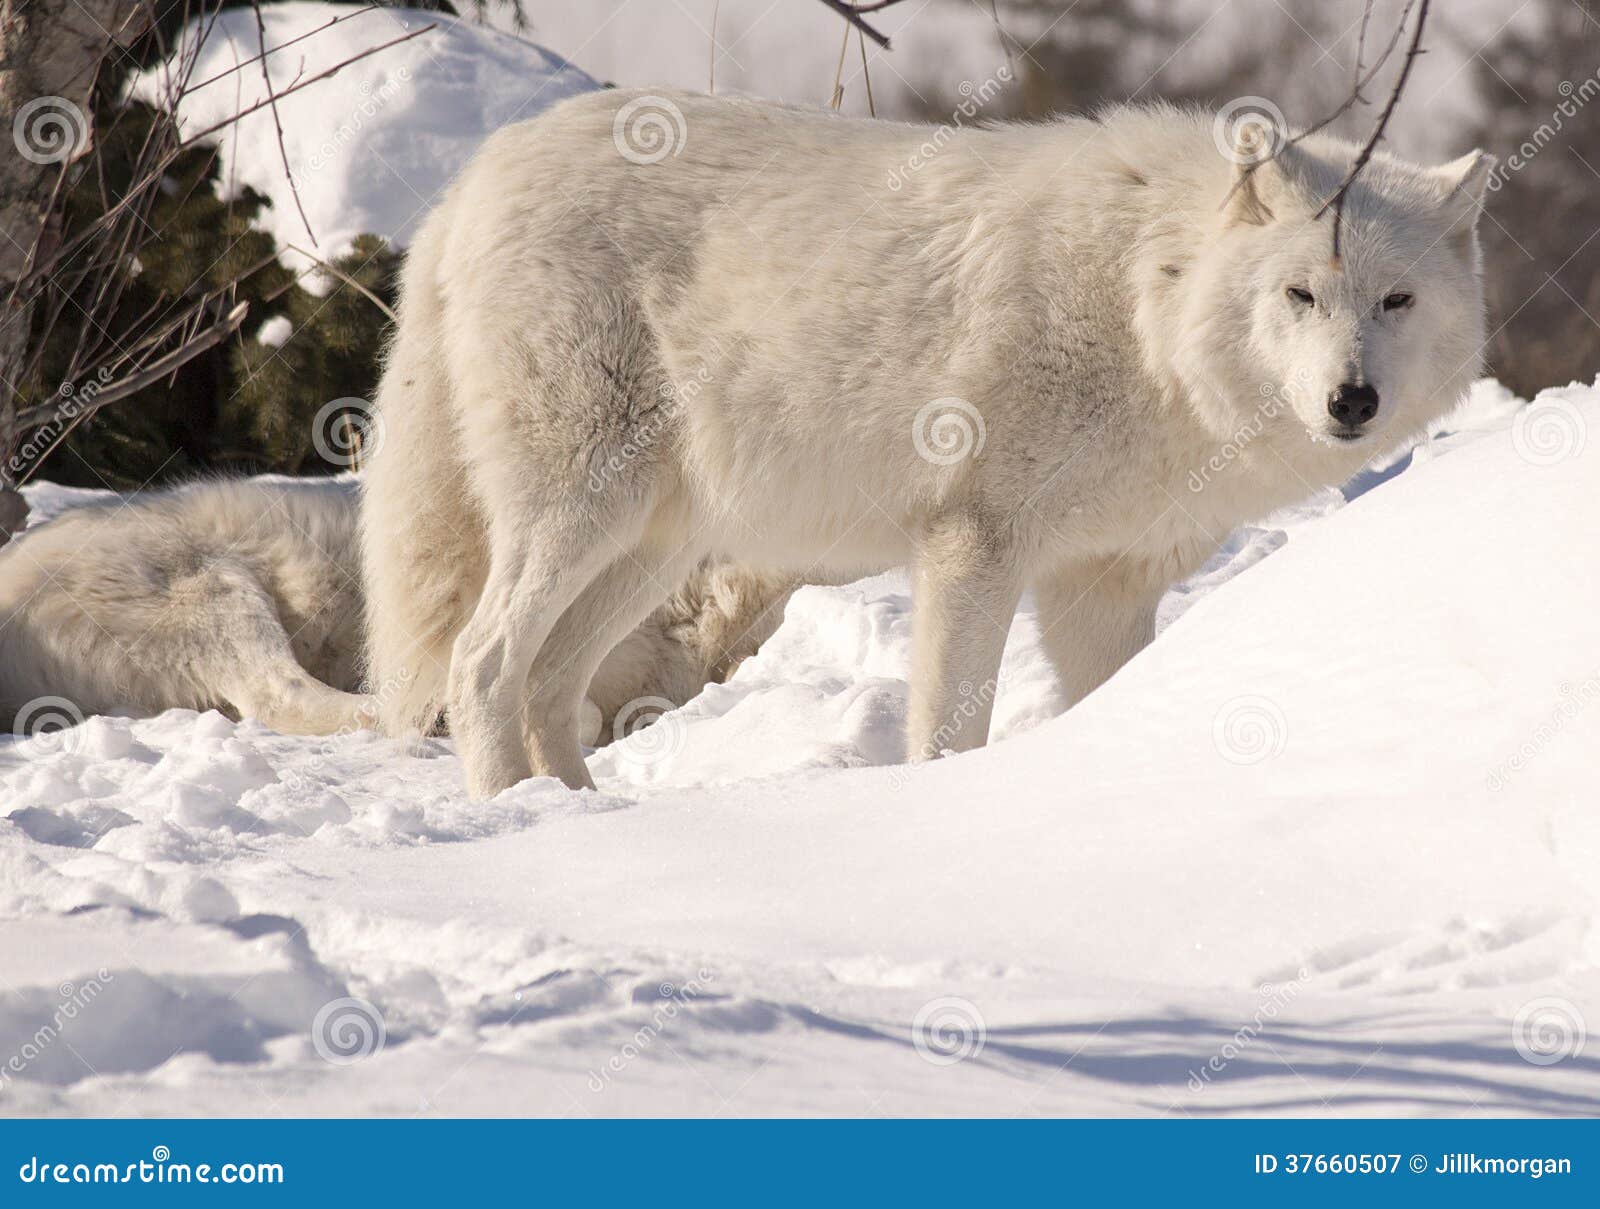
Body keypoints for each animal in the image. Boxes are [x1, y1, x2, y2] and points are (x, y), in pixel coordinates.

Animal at [361, 91, 1491, 797]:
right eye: (1301, 295)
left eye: (1394, 301)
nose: (1353, 399)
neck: (1142, 309)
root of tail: (473, 178)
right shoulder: (972, 545)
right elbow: (948, 729)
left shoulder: (1103, 585)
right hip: (580, 514)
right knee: (480, 663)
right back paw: (508, 809)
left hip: (651, 546)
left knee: (550, 681)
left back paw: (572, 815)